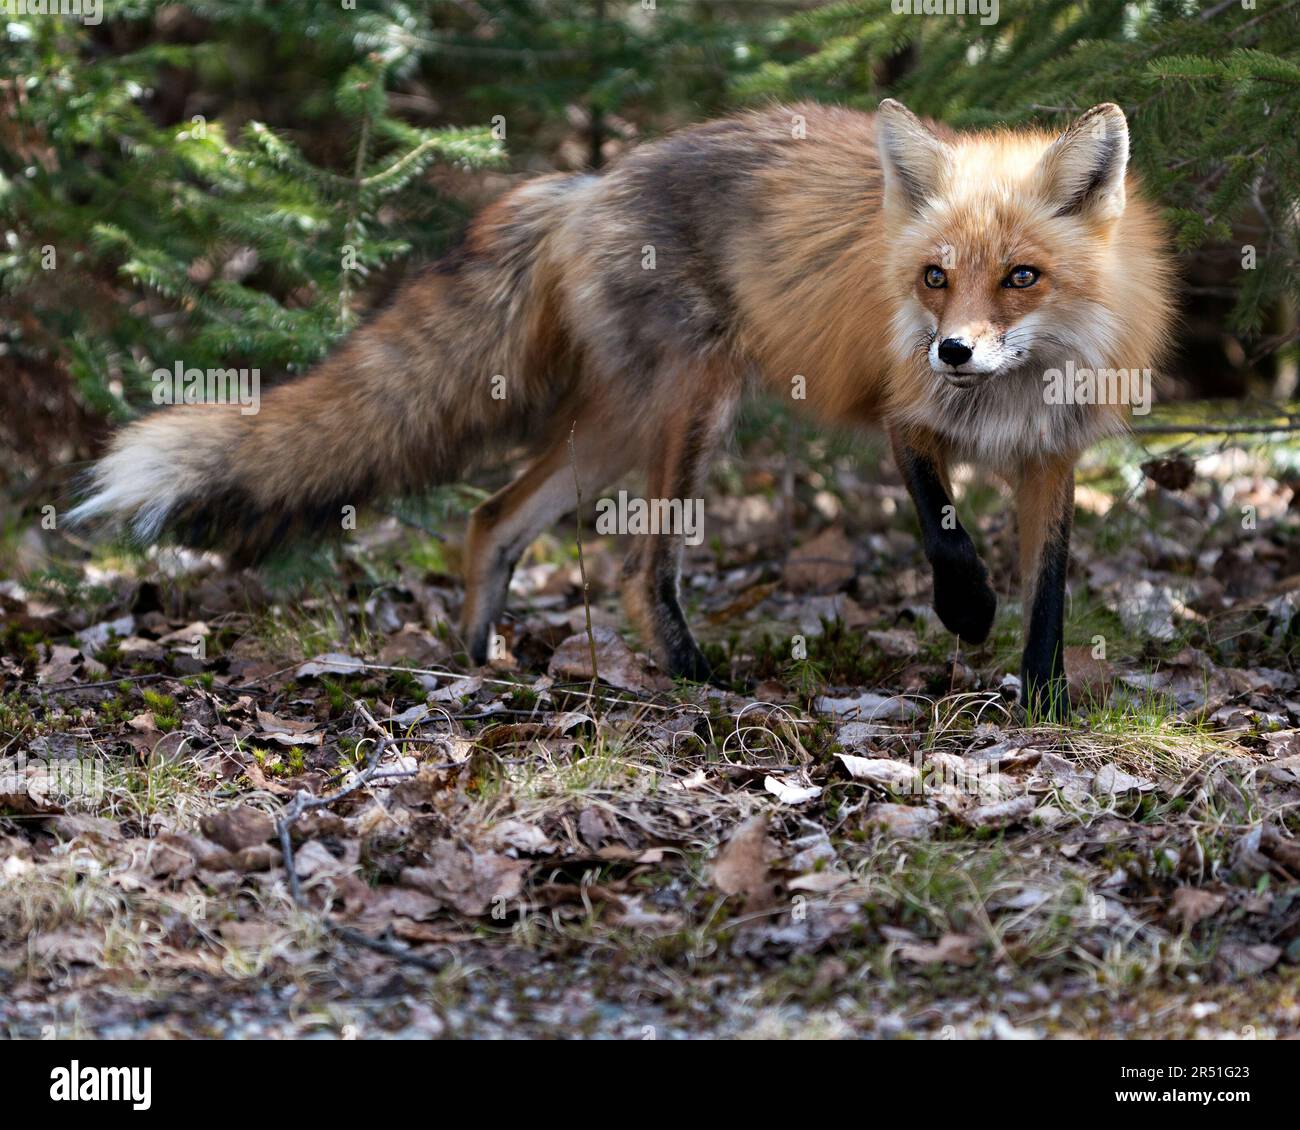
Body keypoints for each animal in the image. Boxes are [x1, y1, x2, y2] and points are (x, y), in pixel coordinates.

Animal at [71, 99, 1175, 717]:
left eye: (1023, 277)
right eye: (934, 278)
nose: (953, 351)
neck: (1011, 389)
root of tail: (590, 181)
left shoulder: (1054, 455)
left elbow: (1050, 591)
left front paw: (1045, 702)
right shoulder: (899, 405)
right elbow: (944, 525)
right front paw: (965, 609)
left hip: (613, 431)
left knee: (491, 518)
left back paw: (479, 663)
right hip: (690, 411)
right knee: (644, 572)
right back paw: (693, 675)